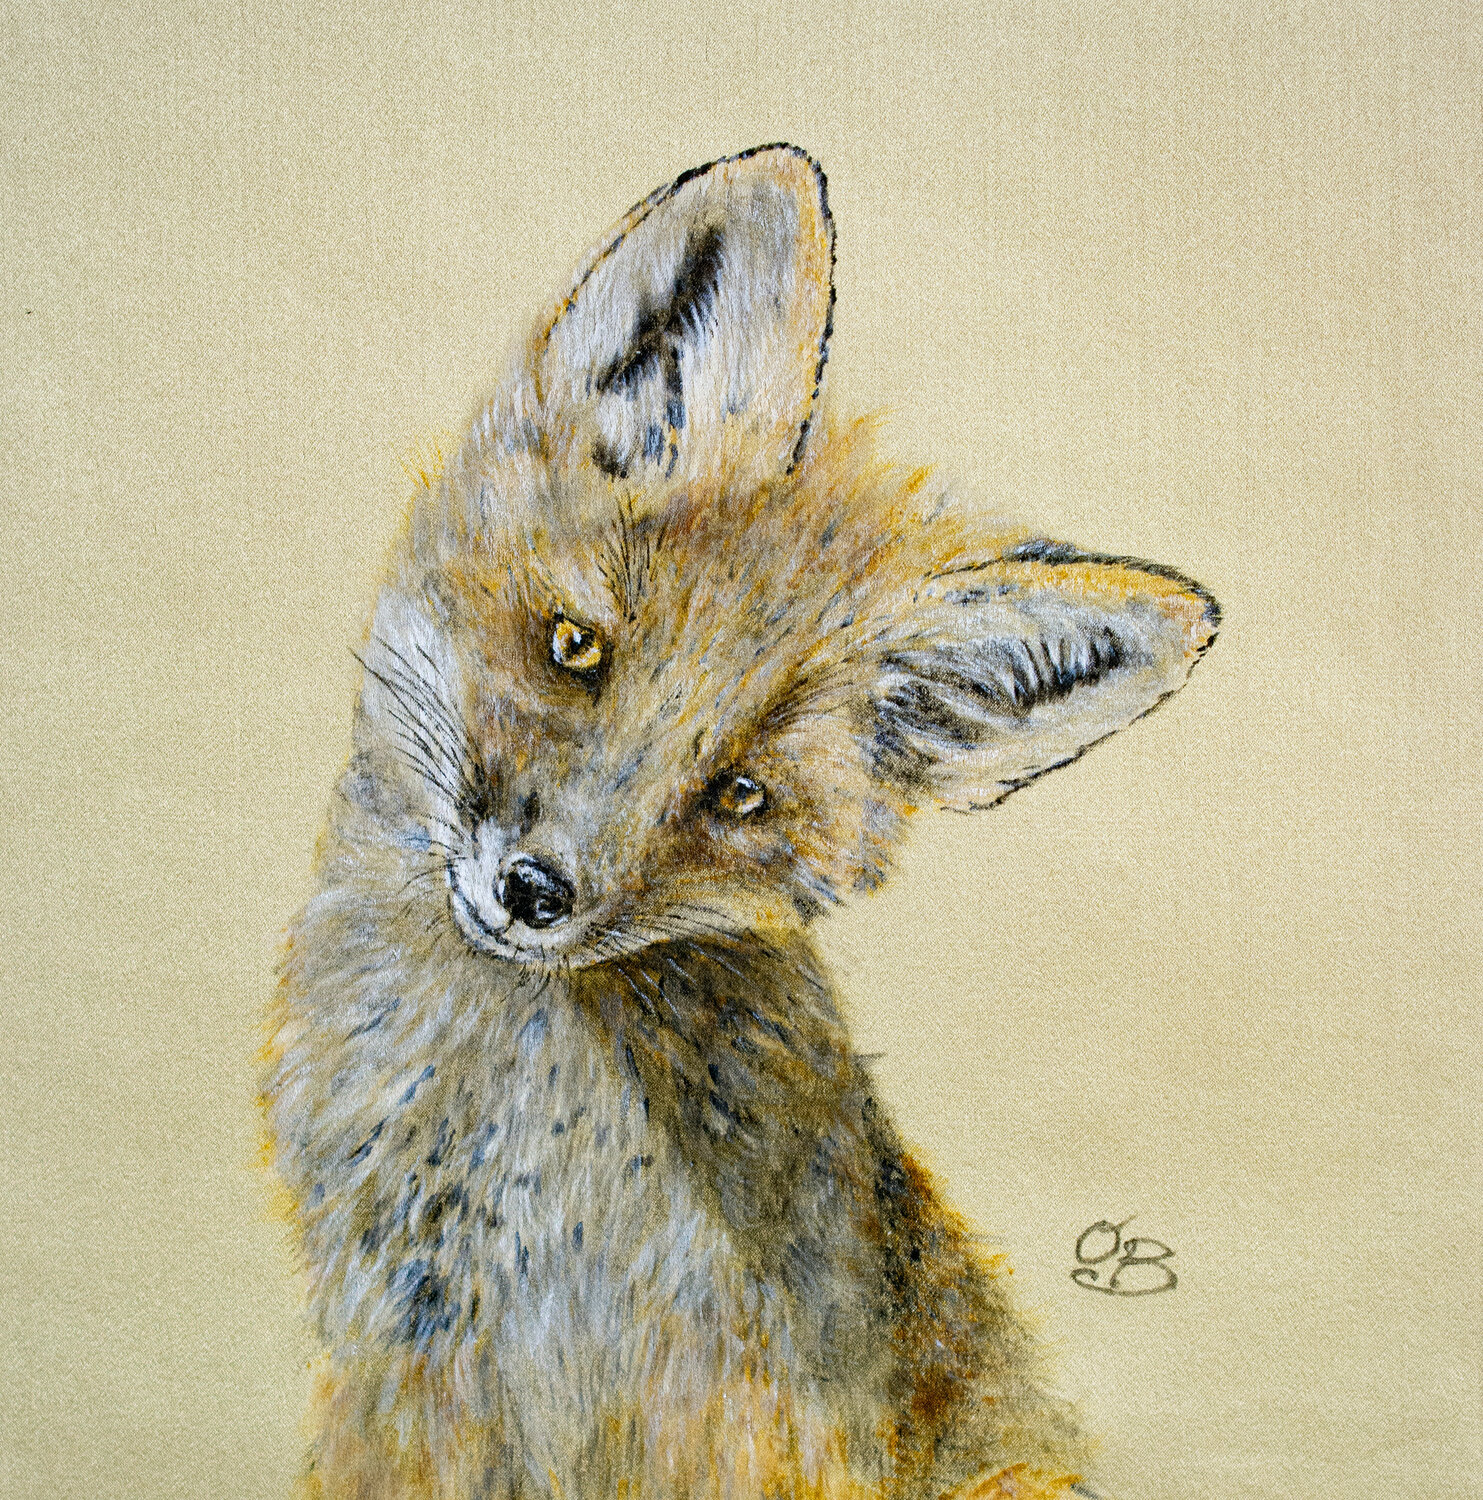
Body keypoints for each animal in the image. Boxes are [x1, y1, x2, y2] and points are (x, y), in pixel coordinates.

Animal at [260, 143, 1219, 1500]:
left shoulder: (731, 1405)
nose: (535, 892)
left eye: (740, 794)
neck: (526, 1193)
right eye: (575, 647)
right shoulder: (403, 1360)